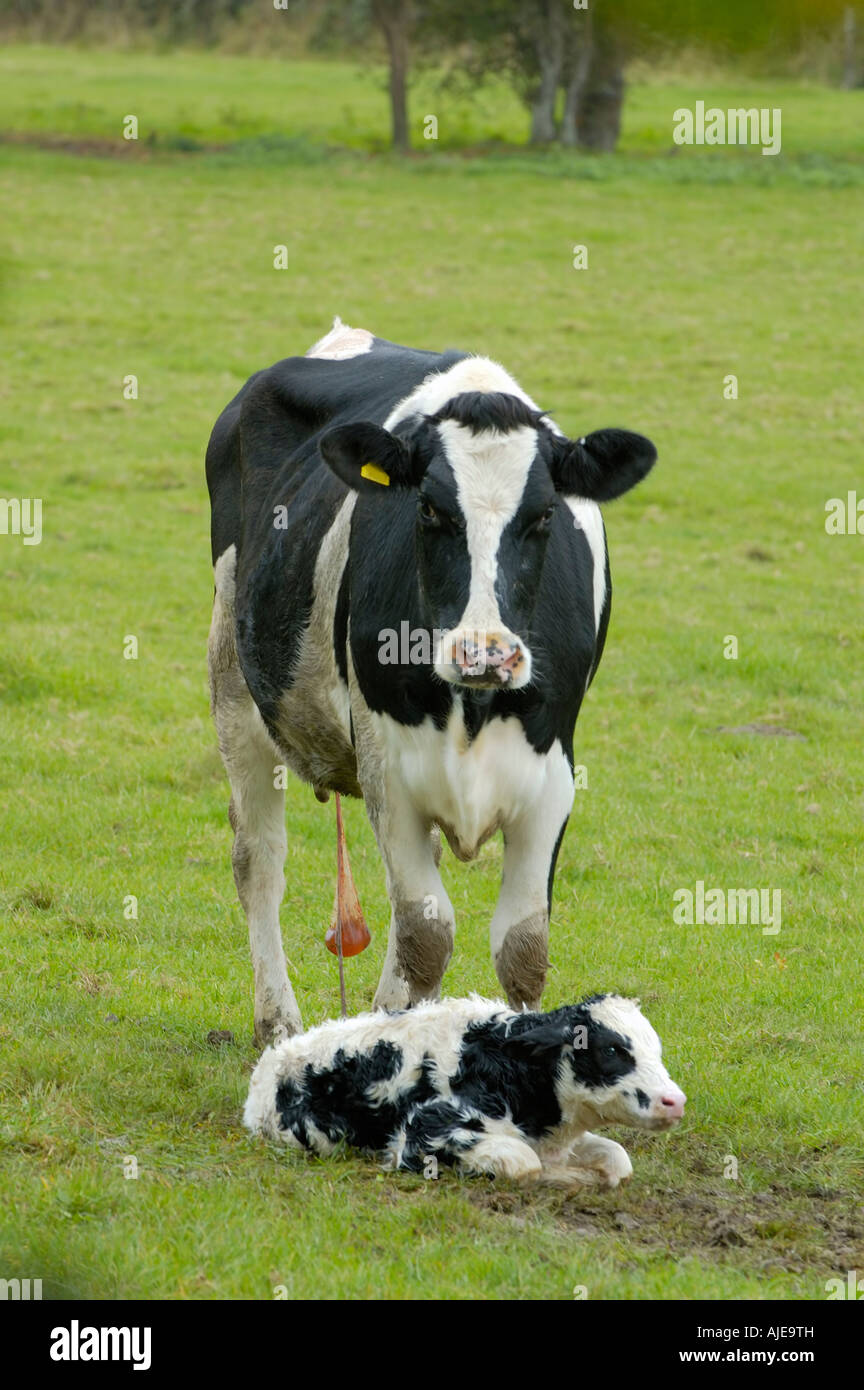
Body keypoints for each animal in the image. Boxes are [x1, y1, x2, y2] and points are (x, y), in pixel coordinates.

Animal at [206, 320, 656, 1045]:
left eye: (544, 515)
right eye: (429, 511)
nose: (485, 652)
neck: (472, 706)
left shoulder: (553, 774)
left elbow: (522, 946)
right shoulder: (390, 771)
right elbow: (426, 935)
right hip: (233, 681)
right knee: (260, 861)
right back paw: (278, 1021)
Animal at [244, 993, 686, 1189]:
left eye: (657, 1049)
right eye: (612, 1049)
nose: (674, 1101)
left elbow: (617, 1159)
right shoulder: (424, 1130)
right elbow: (526, 1164)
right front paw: (567, 1179)